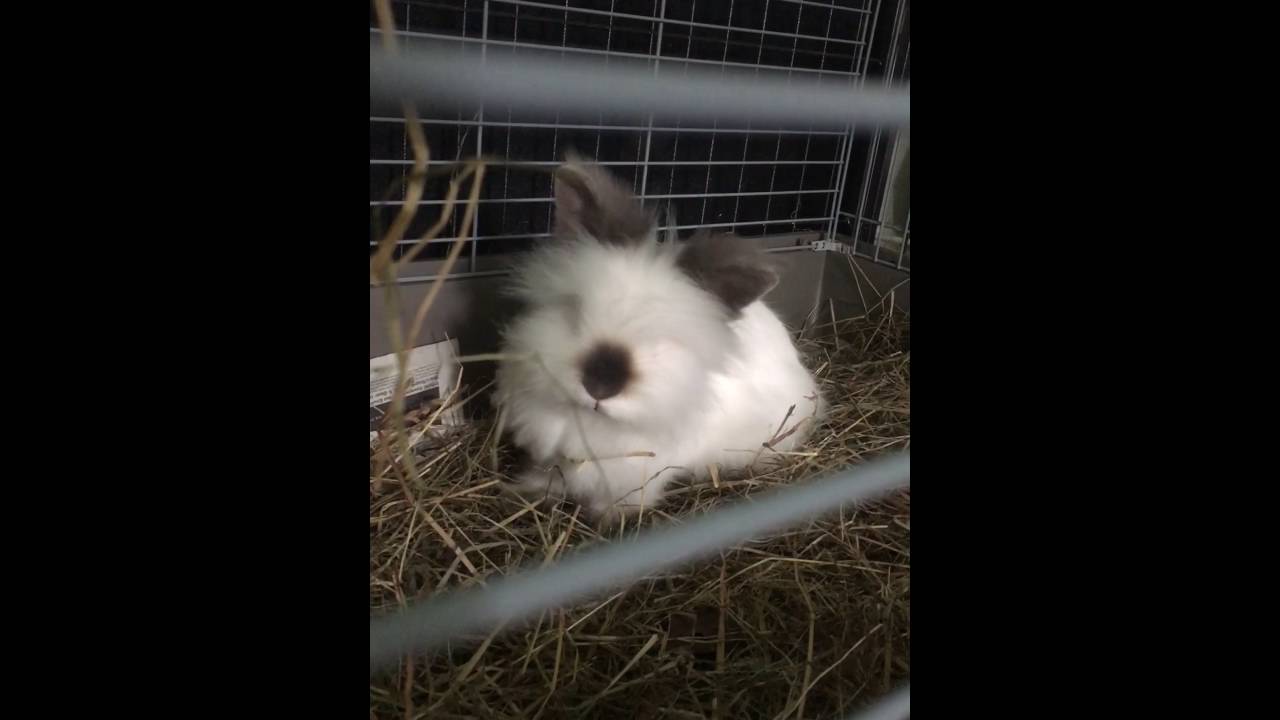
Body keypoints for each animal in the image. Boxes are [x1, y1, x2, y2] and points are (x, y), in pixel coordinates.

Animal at [493, 154, 824, 521]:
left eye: (661, 338)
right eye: (573, 307)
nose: (600, 384)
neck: (592, 423)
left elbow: (627, 499)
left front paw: (611, 520)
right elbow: (547, 476)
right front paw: (523, 491)